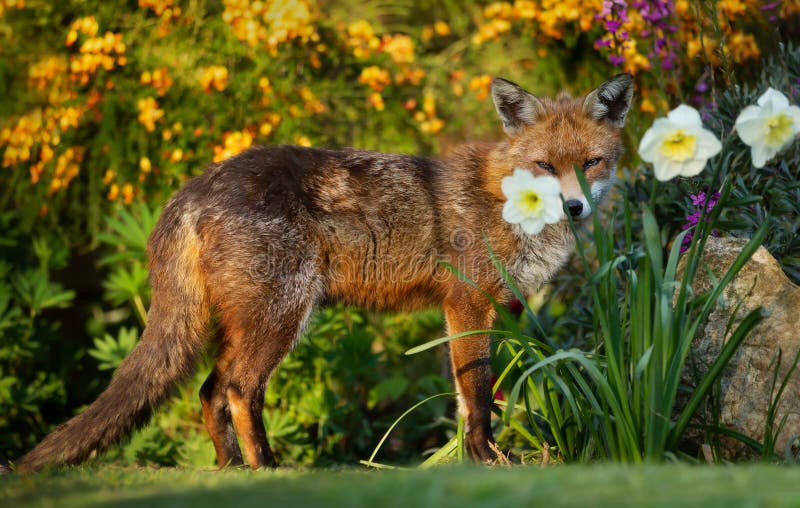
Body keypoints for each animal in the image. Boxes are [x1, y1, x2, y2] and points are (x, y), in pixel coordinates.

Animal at [14, 73, 633, 472]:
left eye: (592, 163)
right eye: (544, 166)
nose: (575, 208)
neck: (506, 203)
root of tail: (194, 187)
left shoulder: (485, 308)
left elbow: (471, 397)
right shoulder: (466, 301)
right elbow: (477, 394)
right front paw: (486, 458)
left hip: (247, 320)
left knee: (210, 391)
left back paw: (229, 470)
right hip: (282, 314)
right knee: (239, 389)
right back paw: (268, 468)